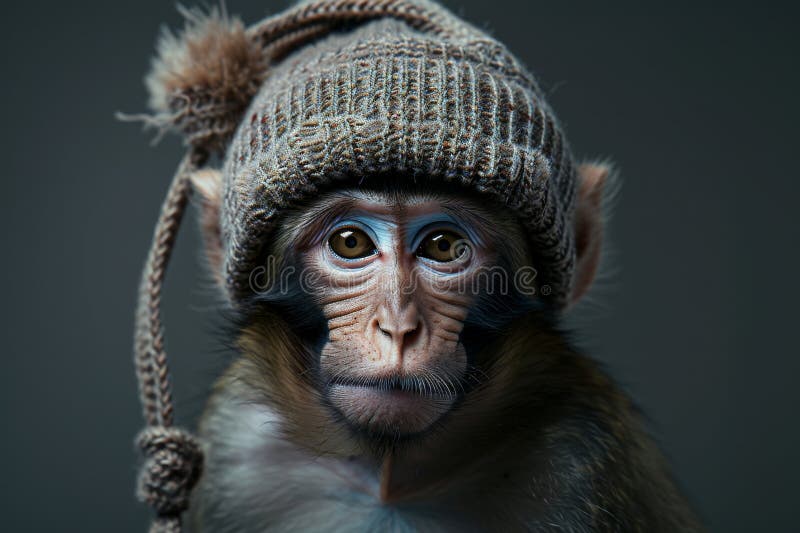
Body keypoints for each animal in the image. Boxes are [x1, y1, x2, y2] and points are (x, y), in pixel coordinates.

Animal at [184, 164, 703, 532]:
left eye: (443, 245)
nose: (398, 329)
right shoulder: (233, 448)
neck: (390, 482)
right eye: (350, 242)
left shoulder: (582, 455)